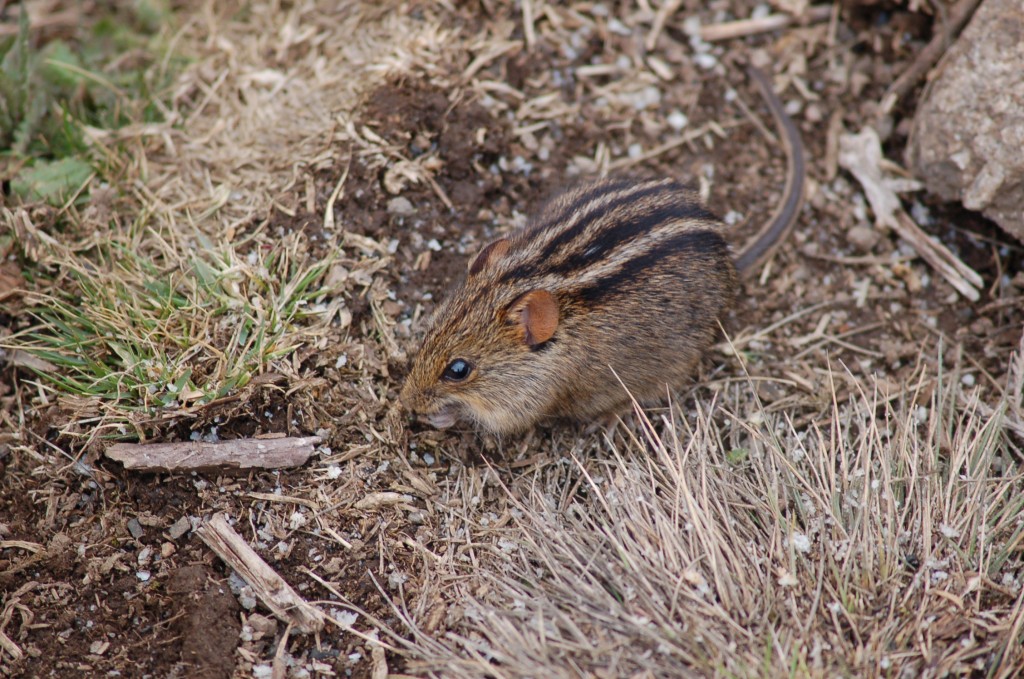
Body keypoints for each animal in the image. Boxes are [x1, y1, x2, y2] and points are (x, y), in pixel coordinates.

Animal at [399, 67, 806, 435]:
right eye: (428, 331)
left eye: (458, 370)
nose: (407, 403)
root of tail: (729, 257)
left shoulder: (523, 404)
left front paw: (441, 416)